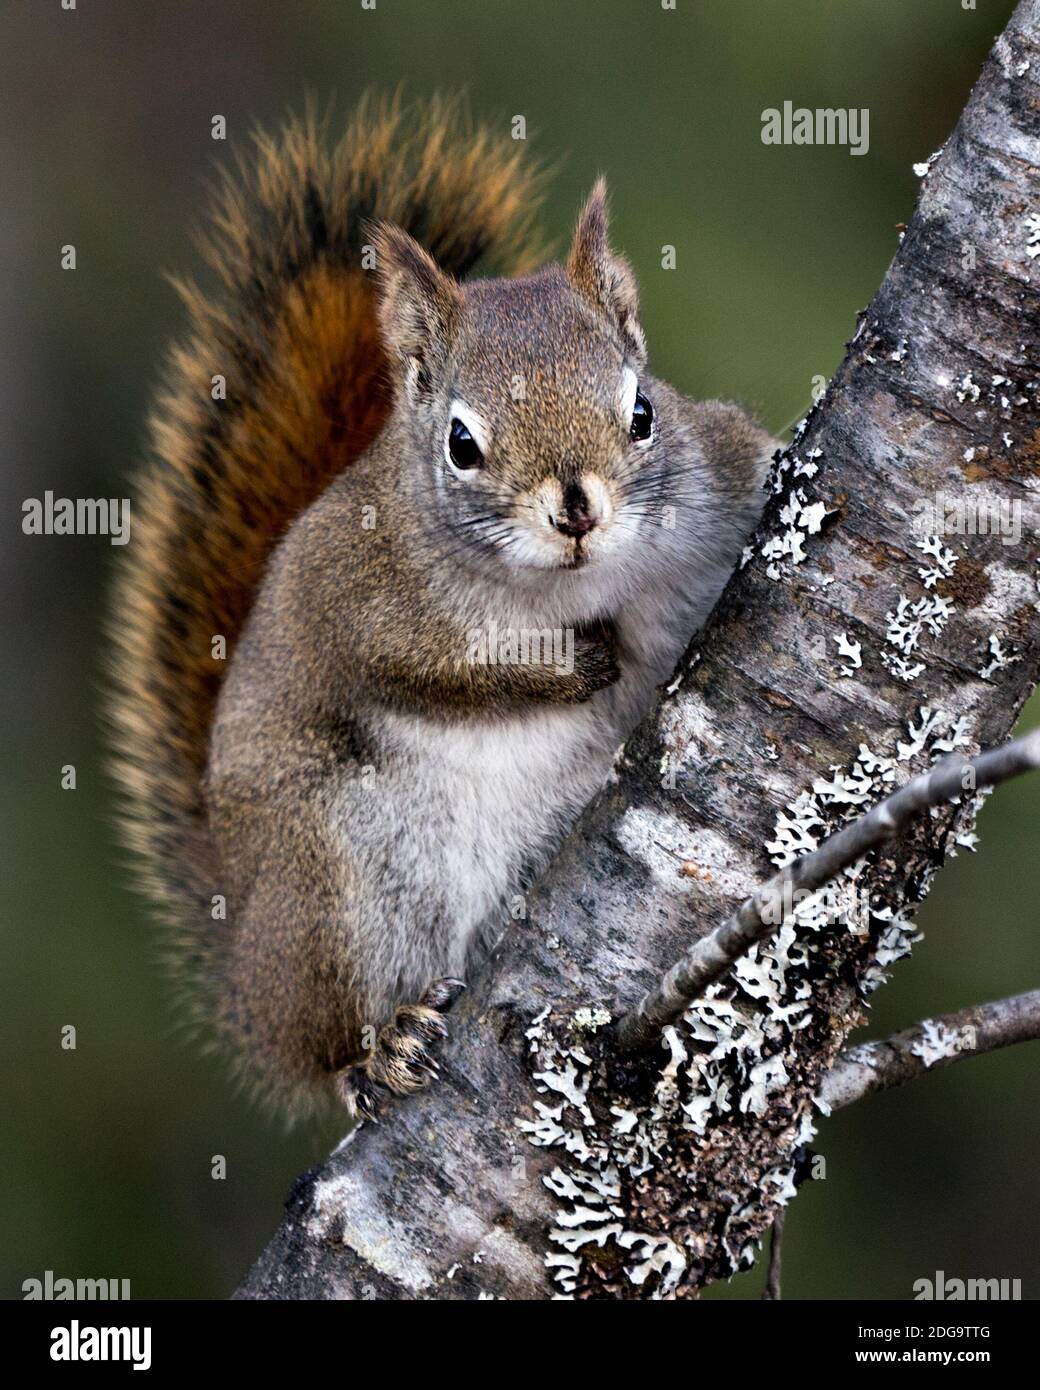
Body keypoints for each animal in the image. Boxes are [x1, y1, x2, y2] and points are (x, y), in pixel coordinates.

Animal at [110, 94, 776, 1122]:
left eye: (643, 413)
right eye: (462, 443)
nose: (576, 509)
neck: (570, 587)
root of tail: (249, 990)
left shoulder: (721, 469)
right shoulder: (353, 600)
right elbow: (435, 675)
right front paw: (567, 667)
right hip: (330, 888)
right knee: (329, 1038)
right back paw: (374, 1051)